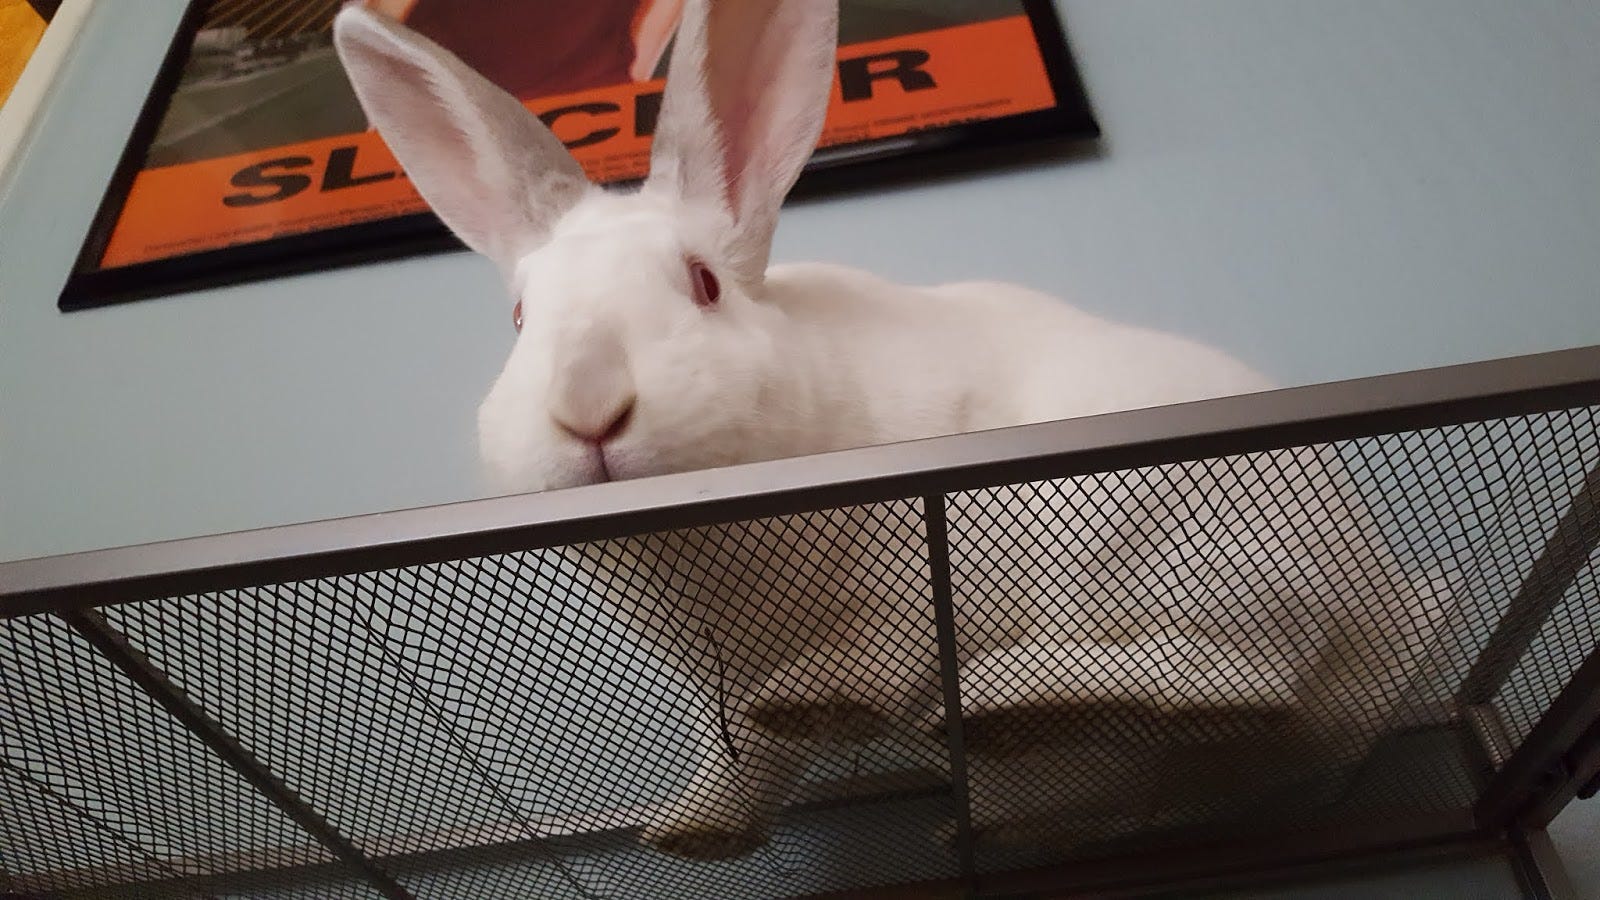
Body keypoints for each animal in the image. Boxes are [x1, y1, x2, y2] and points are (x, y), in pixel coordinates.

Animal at [333, 0, 1452, 862]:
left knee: (1243, 677)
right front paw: (698, 834)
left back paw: (1008, 701)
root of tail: (1394, 633)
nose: (588, 408)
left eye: (702, 285)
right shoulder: (724, 685)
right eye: (522, 321)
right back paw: (981, 815)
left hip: (1189, 555)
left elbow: (878, 659)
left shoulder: (919, 563)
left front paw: (820, 703)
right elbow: (749, 751)